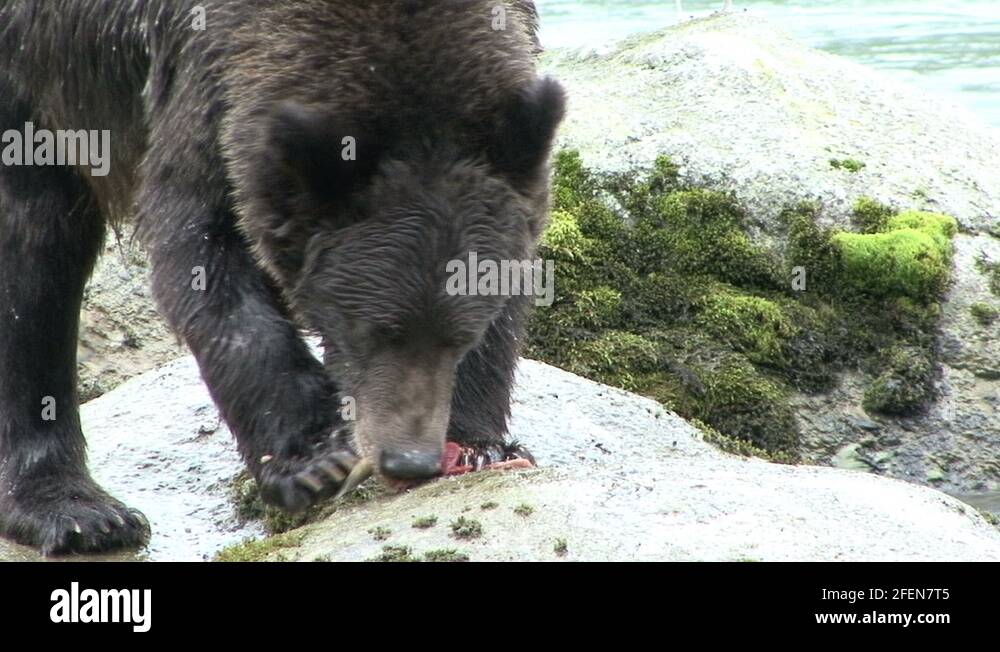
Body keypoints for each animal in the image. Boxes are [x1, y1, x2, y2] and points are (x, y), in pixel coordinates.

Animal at [0, 0, 565, 555]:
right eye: (372, 330)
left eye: (460, 337)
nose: (409, 459)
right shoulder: (206, 88)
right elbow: (206, 263)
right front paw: (314, 460)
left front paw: (477, 444)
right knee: (34, 255)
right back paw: (76, 511)